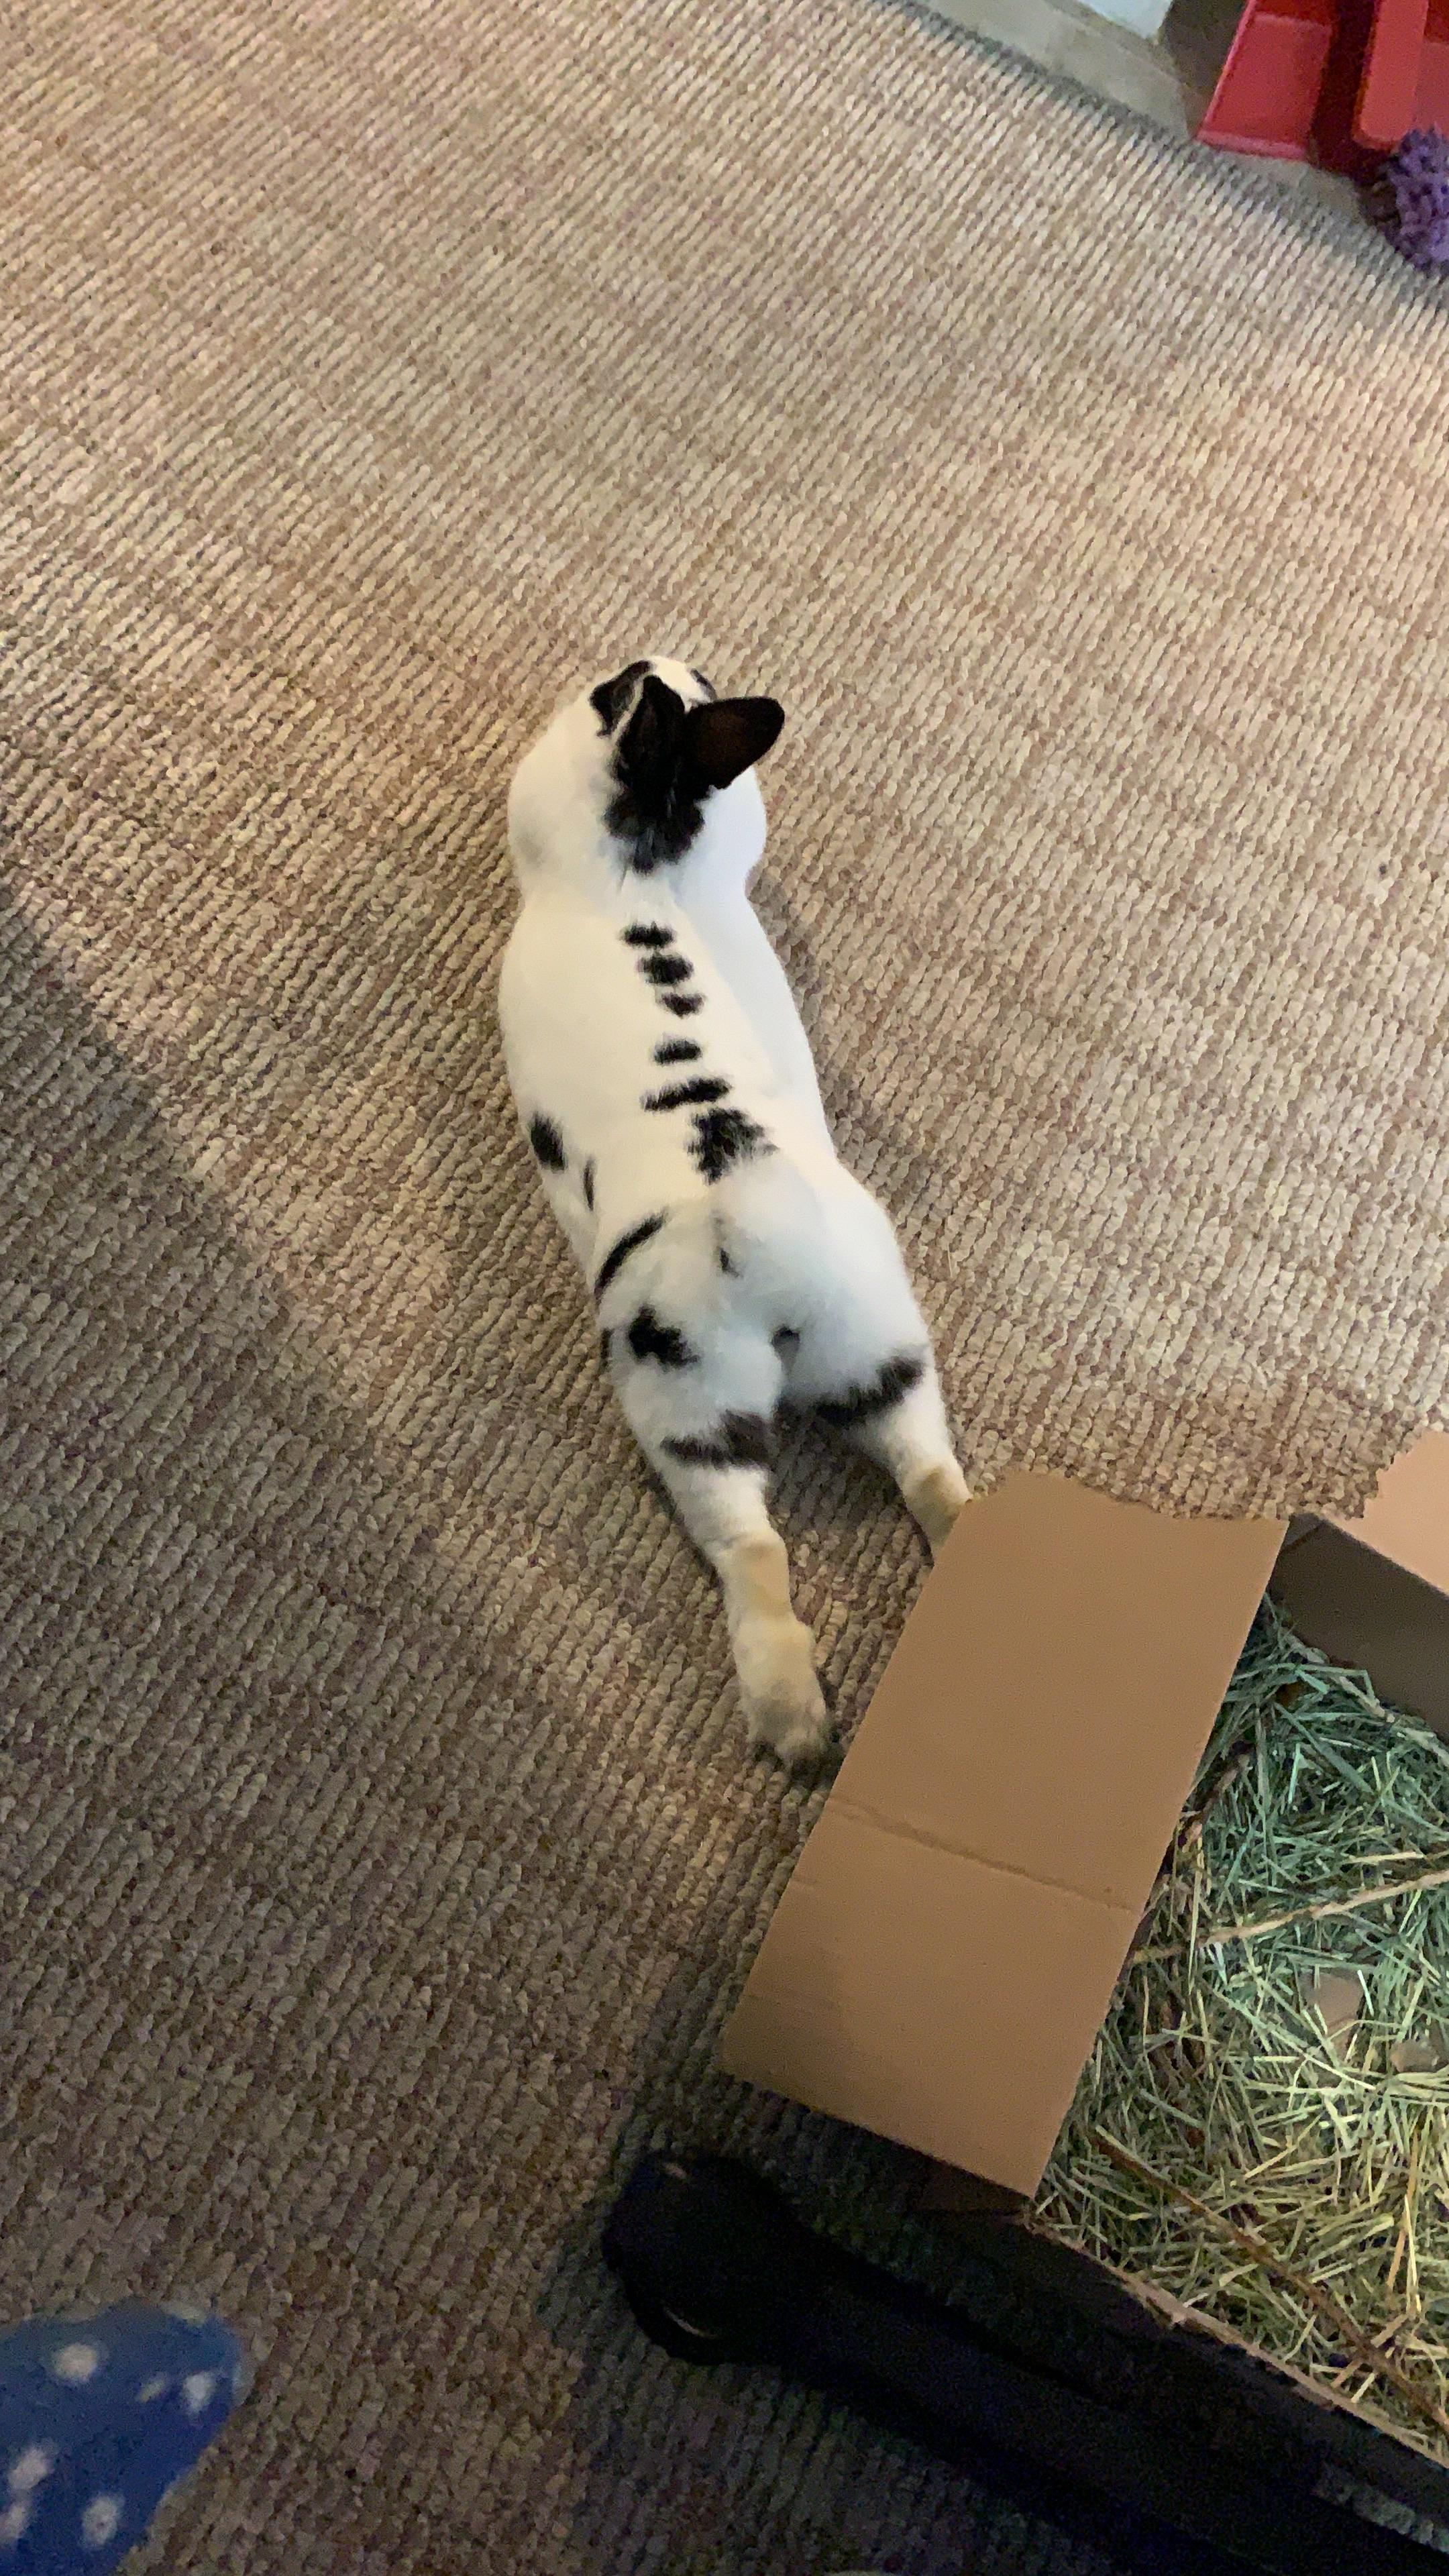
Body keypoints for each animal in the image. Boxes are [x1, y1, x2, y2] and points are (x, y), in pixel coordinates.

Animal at [499, 656, 968, 1766]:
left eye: (612, 695)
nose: (666, 667)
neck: (644, 864)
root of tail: (769, 1249)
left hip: (684, 1401)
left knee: (752, 1550)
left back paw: (795, 1731)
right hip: (881, 1345)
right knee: (928, 1469)